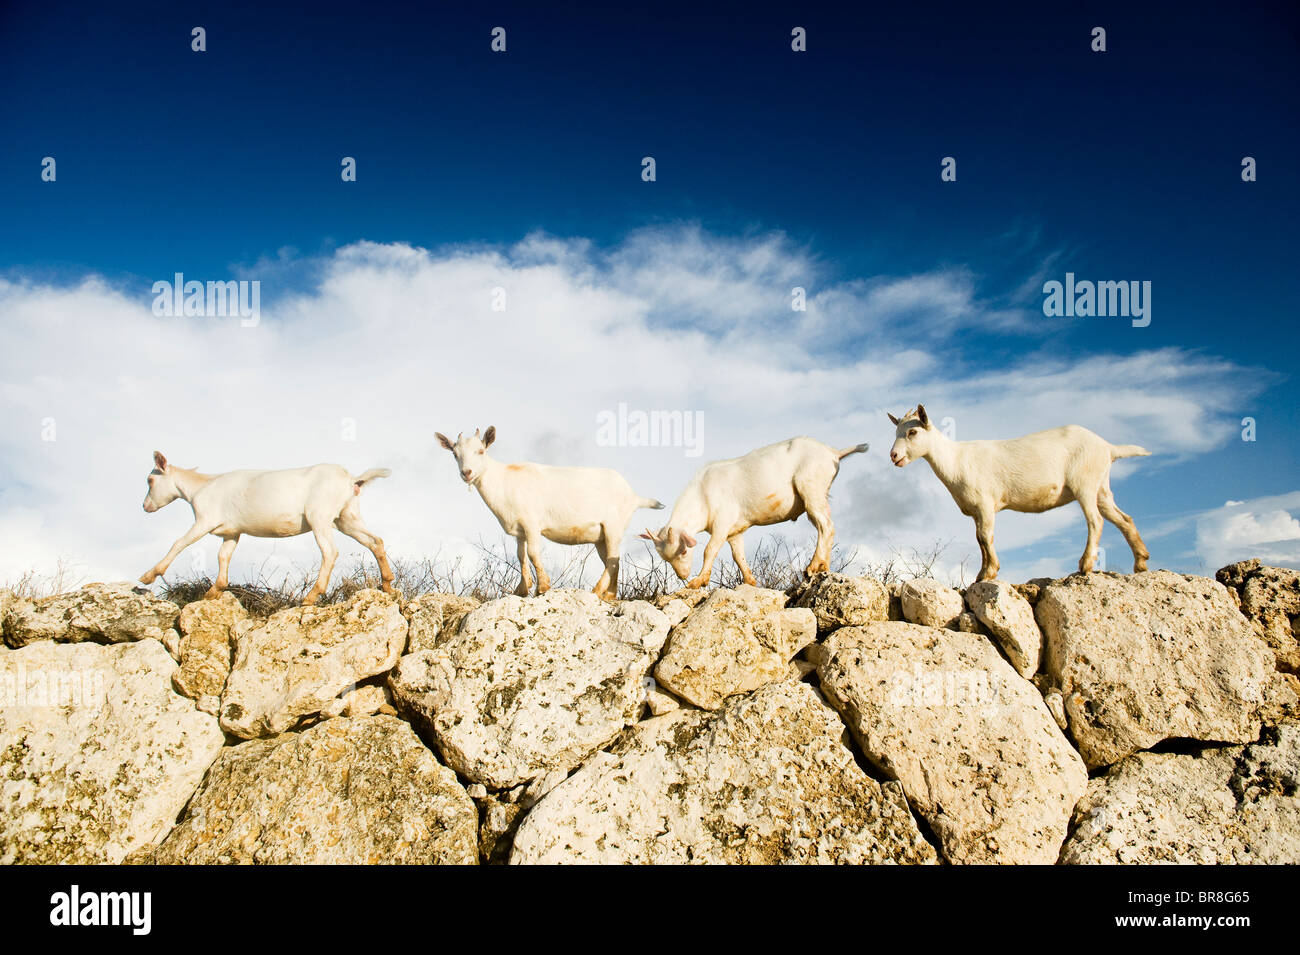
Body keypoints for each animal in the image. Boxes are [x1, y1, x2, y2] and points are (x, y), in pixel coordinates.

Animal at [138, 451, 394, 604]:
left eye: (150, 480)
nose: (145, 506)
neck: (201, 487)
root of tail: (351, 480)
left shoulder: (205, 520)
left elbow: (179, 543)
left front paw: (149, 575)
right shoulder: (232, 532)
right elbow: (223, 556)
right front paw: (214, 591)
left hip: (319, 516)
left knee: (330, 551)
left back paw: (311, 596)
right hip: (346, 517)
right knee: (375, 540)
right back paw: (388, 584)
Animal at [435, 426, 664, 600]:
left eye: (481, 451)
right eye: (455, 454)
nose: (467, 473)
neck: (504, 480)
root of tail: (634, 496)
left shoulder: (532, 522)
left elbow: (533, 553)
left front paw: (542, 587)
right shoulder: (519, 530)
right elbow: (520, 556)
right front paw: (522, 589)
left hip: (613, 525)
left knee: (613, 559)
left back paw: (598, 591)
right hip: (600, 537)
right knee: (612, 560)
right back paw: (609, 595)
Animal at [641, 436, 869, 588]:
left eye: (683, 551)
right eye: (666, 559)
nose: (683, 576)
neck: (702, 495)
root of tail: (833, 452)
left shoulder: (722, 523)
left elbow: (710, 549)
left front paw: (698, 581)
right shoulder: (734, 531)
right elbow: (738, 556)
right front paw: (750, 582)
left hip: (811, 489)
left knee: (825, 525)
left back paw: (813, 567)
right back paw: (824, 568)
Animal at [887, 405, 1150, 580]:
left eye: (913, 432)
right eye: (896, 432)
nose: (894, 456)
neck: (956, 459)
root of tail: (1108, 447)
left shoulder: (985, 502)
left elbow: (985, 537)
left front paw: (989, 572)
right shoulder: (977, 510)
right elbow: (979, 539)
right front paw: (982, 573)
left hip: (1084, 482)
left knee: (1095, 520)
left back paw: (1085, 565)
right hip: (1100, 486)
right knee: (1123, 519)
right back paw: (1141, 562)